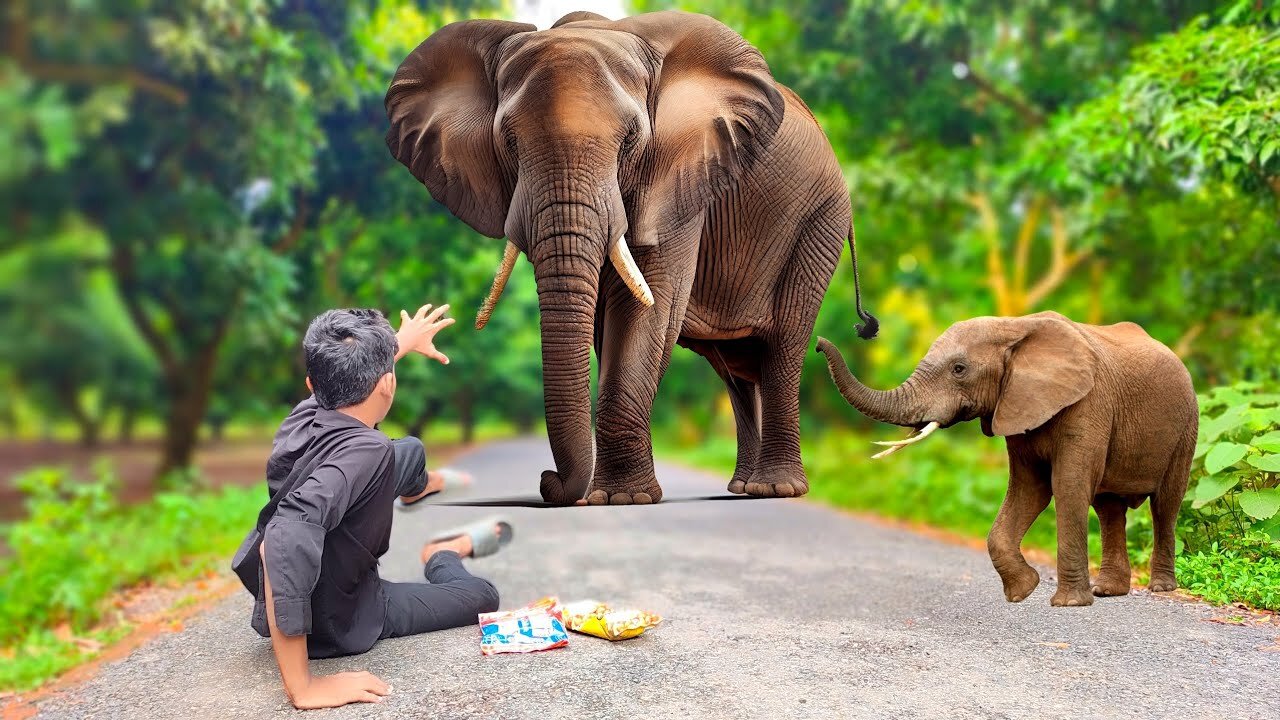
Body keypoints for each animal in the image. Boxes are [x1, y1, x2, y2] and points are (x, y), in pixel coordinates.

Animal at [385, 11, 877, 506]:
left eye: (629, 142)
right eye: (508, 142)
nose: (547, 481)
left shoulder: (678, 180)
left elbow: (649, 307)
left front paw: (622, 499)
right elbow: (608, 326)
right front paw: (600, 497)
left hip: (820, 219)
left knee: (782, 344)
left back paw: (774, 488)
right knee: (735, 367)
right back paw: (742, 488)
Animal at [815, 312, 1197, 606]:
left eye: (959, 369)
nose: (818, 343)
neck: (1013, 326)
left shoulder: (1089, 403)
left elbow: (1068, 485)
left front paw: (1068, 605)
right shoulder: (1016, 405)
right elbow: (1031, 489)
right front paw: (1023, 593)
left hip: (1187, 426)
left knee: (1165, 504)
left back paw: (1160, 587)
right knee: (1109, 507)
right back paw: (1107, 592)